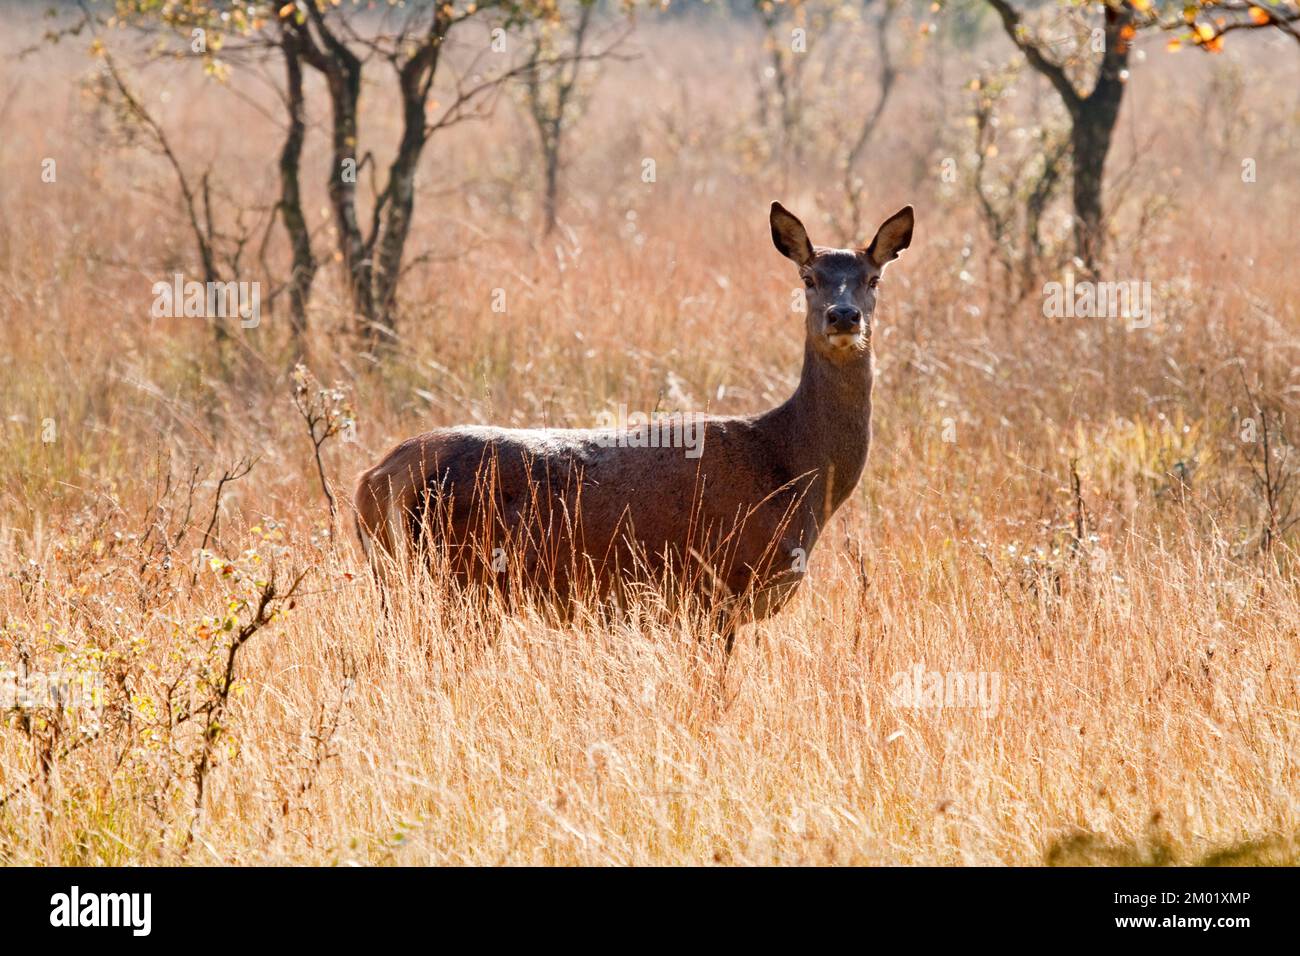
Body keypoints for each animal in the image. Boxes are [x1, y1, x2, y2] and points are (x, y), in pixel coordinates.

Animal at [354, 201, 914, 650]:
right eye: (808, 278)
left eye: (874, 279)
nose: (844, 316)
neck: (791, 468)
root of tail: (374, 479)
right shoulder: (715, 587)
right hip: (454, 575)